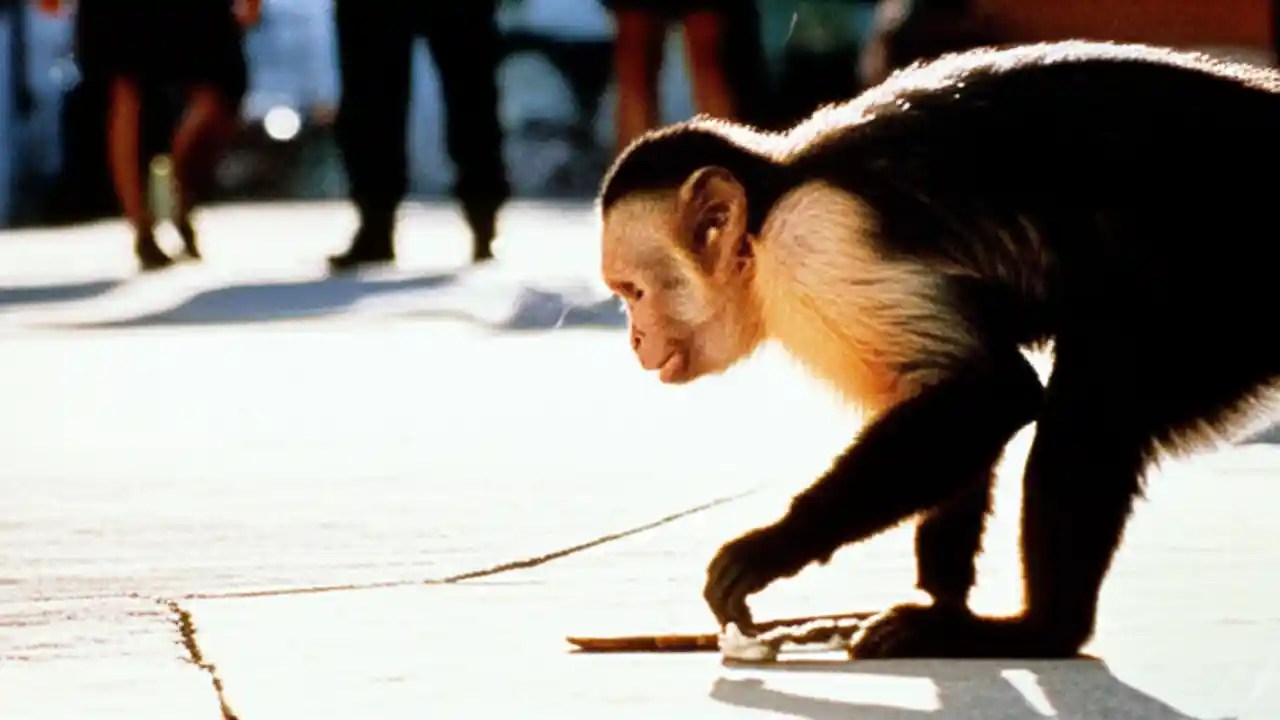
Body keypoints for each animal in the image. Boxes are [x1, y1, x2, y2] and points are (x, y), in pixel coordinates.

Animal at [596, 40, 1280, 659]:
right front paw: (937, 603)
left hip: (1216, 292)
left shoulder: (816, 244)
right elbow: (944, 397)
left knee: (1091, 392)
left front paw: (772, 547)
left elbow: (992, 390)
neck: (767, 218)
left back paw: (1043, 632)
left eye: (634, 292)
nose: (635, 337)